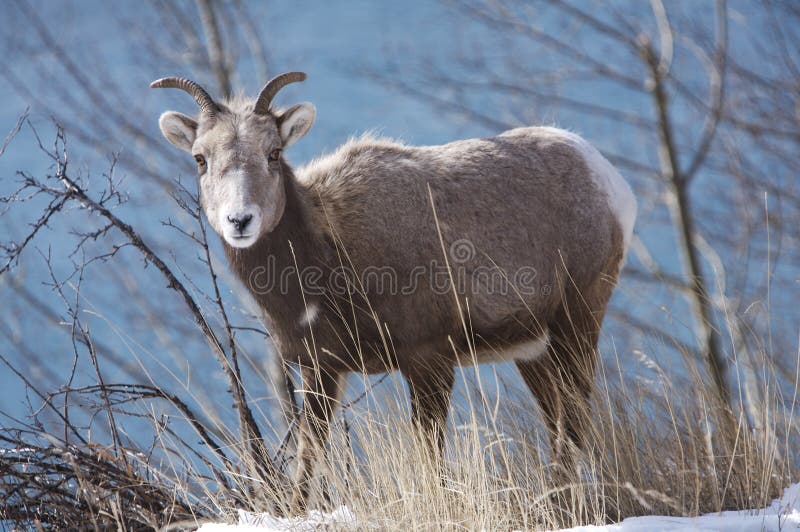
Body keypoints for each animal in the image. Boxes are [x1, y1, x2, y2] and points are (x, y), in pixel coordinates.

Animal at [151, 72, 637, 509]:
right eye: (200, 158)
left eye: (273, 153)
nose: (240, 220)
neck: (330, 255)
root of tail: (609, 182)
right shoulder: (322, 370)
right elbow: (308, 460)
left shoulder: (429, 361)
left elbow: (431, 460)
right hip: (533, 350)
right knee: (559, 424)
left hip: (577, 322)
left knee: (574, 420)